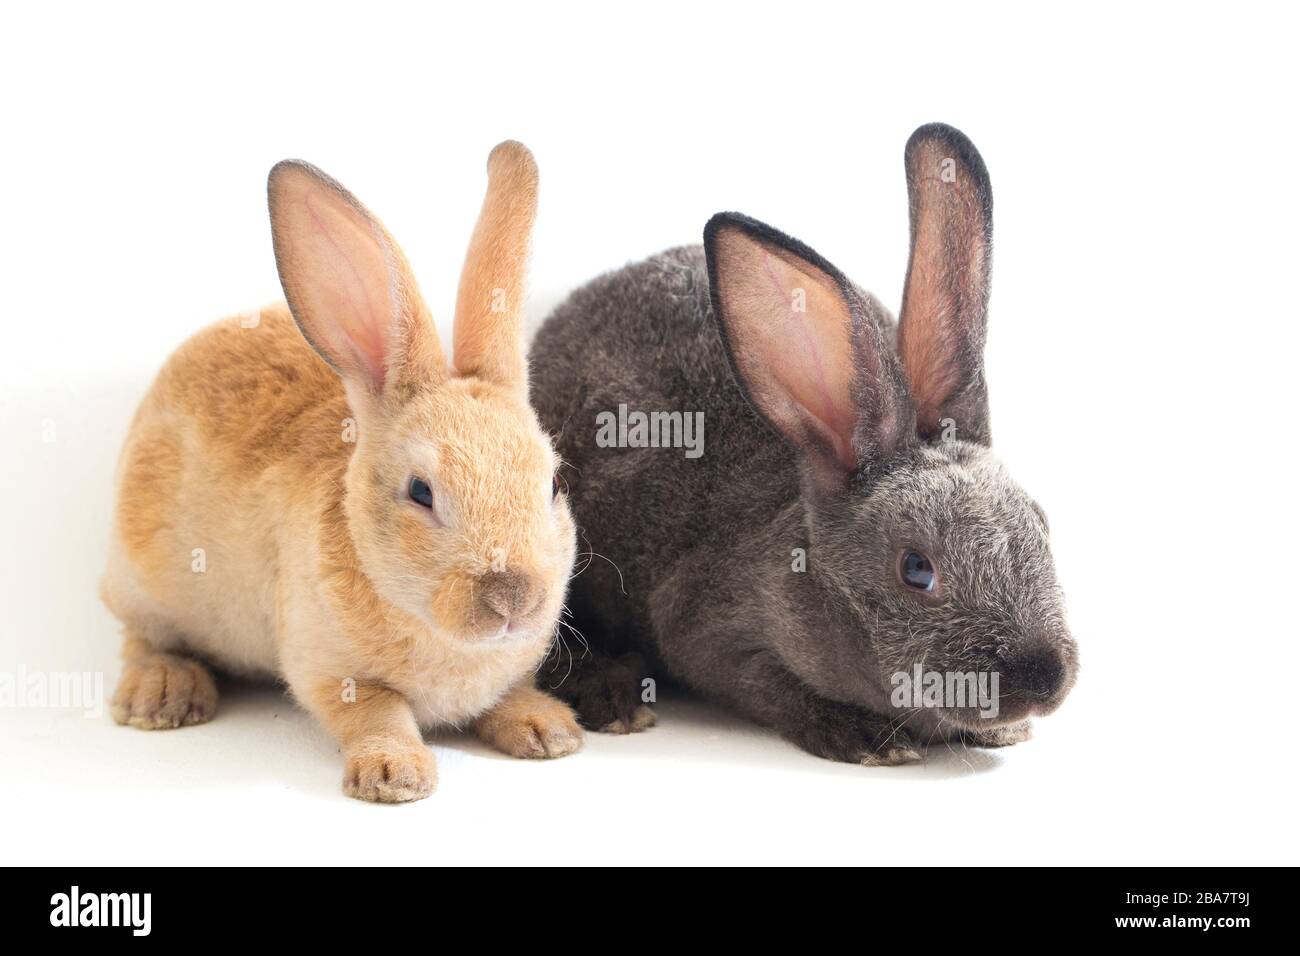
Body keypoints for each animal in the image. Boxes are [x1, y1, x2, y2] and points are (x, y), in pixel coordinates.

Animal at [100, 141, 583, 802]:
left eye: (554, 484)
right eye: (421, 492)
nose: (512, 598)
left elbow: (507, 696)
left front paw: (548, 732)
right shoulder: (330, 670)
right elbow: (376, 712)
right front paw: (394, 776)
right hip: (144, 580)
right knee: (140, 637)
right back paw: (163, 693)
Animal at [528, 124, 1078, 764]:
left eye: (1041, 527)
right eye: (917, 569)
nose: (1044, 679)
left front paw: (1001, 731)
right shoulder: (708, 632)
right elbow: (770, 686)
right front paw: (864, 737)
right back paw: (612, 695)